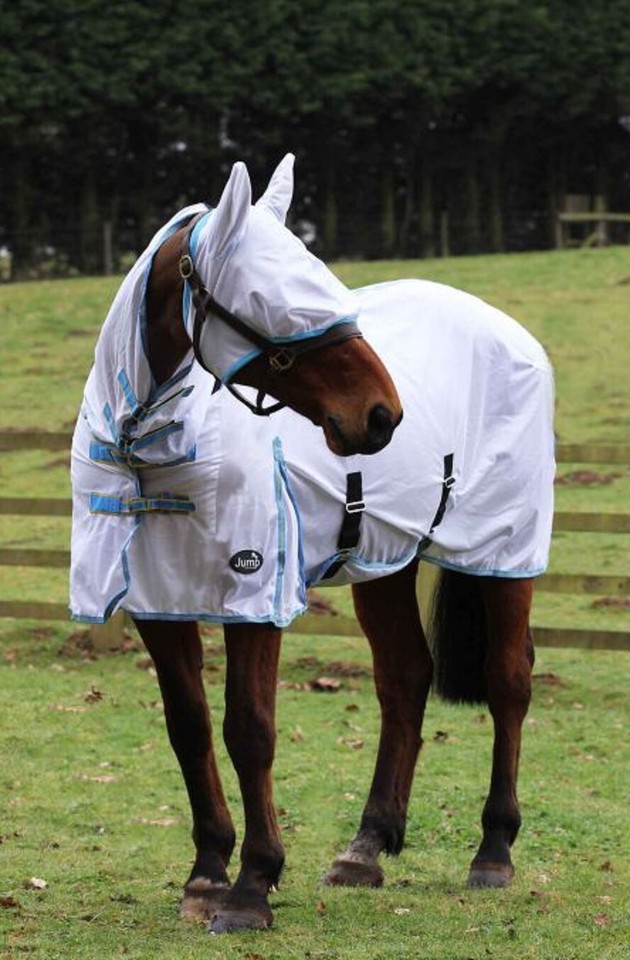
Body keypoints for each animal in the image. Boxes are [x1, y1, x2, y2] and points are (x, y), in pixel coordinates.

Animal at [70, 158, 555, 936]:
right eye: (272, 296)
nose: (381, 414)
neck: (156, 449)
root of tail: (506, 331)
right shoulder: (158, 603)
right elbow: (189, 728)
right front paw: (207, 873)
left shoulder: (252, 594)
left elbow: (250, 730)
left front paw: (251, 887)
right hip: (386, 565)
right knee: (404, 679)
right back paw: (366, 848)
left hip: (504, 555)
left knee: (509, 680)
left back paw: (493, 851)